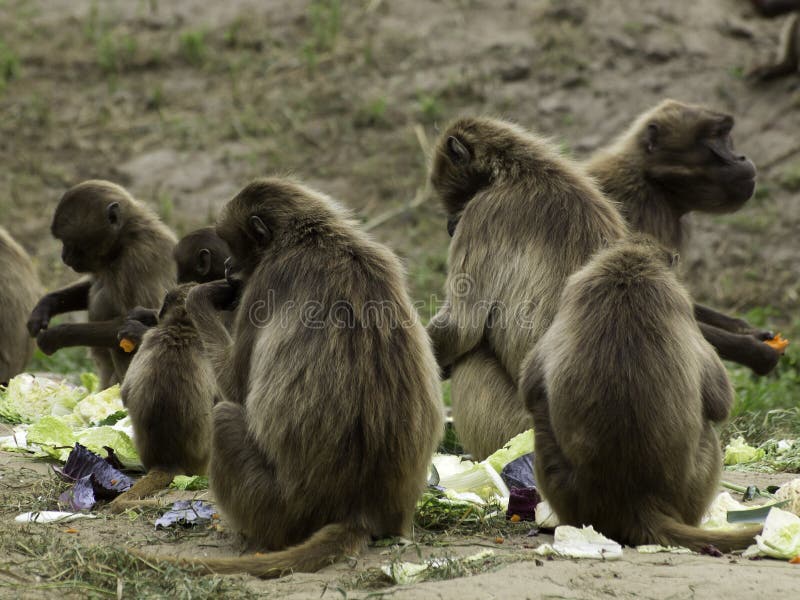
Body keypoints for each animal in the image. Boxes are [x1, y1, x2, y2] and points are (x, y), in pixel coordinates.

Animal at [26, 180, 177, 388]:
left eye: (68, 241)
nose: (64, 257)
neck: (124, 240)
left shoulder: (140, 261)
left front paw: (58, 334)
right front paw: (44, 307)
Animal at [130, 177, 443, 577]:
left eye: (233, 245)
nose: (228, 266)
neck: (313, 239)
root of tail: (359, 510)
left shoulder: (264, 281)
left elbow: (236, 386)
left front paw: (199, 295)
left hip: (277, 508)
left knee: (224, 416)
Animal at [427, 117, 628, 459]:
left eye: (461, 203)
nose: (451, 226)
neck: (520, 171)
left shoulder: (483, 215)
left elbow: (461, 328)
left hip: (518, 427)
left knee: (472, 359)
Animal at [585, 100, 781, 375]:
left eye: (726, 135)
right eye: (715, 137)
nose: (741, 157)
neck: (655, 183)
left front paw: (749, 330)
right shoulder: (642, 211)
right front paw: (754, 350)